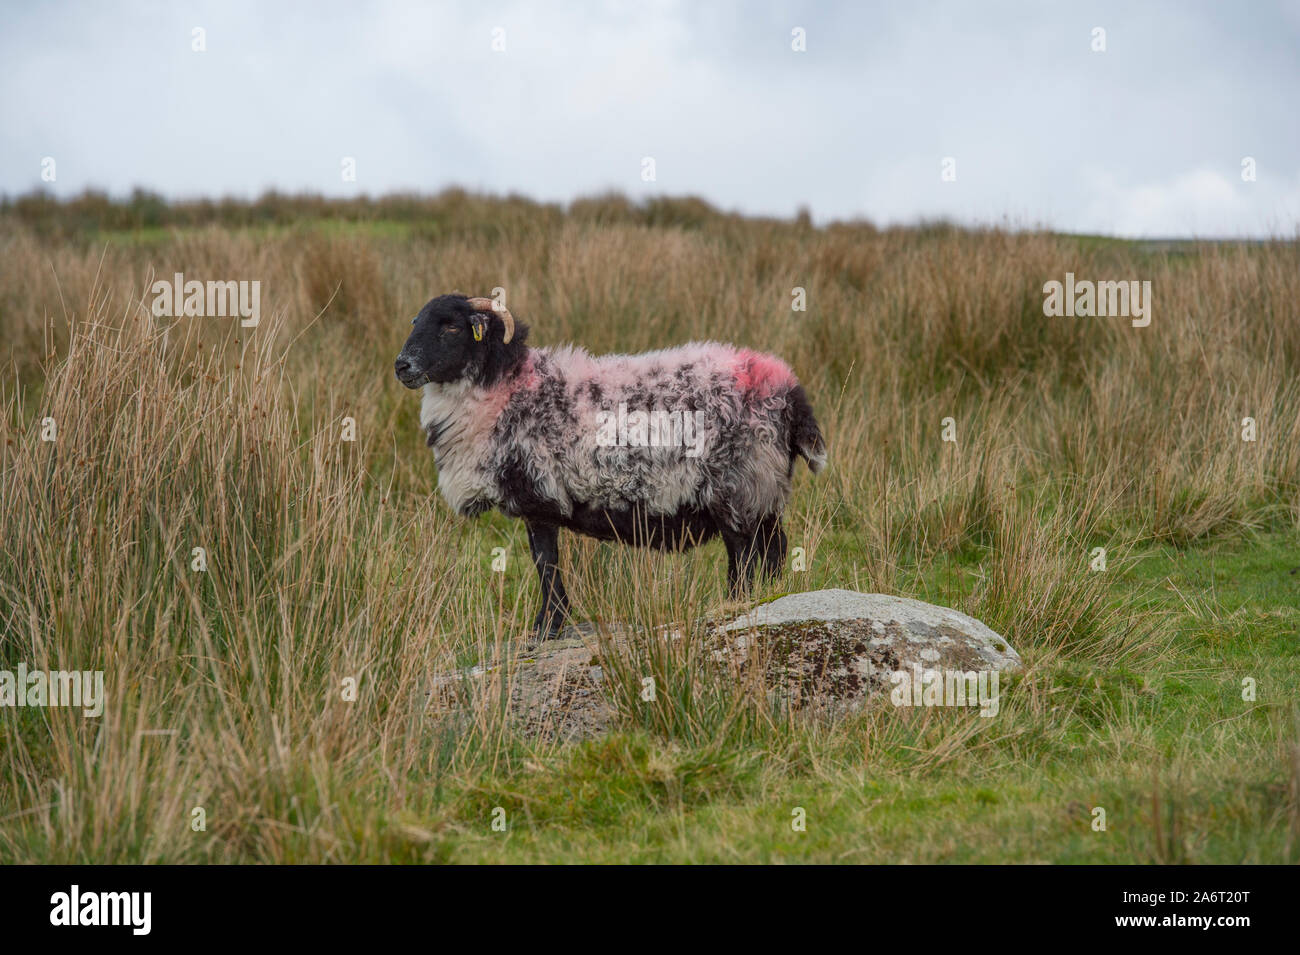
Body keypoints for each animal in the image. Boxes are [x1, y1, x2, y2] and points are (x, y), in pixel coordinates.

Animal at [394, 293, 827, 639]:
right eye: (415, 321)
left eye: (451, 326)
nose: (402, 366)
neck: (504, 389)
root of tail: (788, 390)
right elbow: (546, 563)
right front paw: (549, 625)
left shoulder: (538, 500)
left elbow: (545, 563)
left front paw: (546, 628)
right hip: (762, 489)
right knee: (770, 552)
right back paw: (762, 603)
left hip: (738, 486)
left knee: (747, 556)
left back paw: (734, 608)